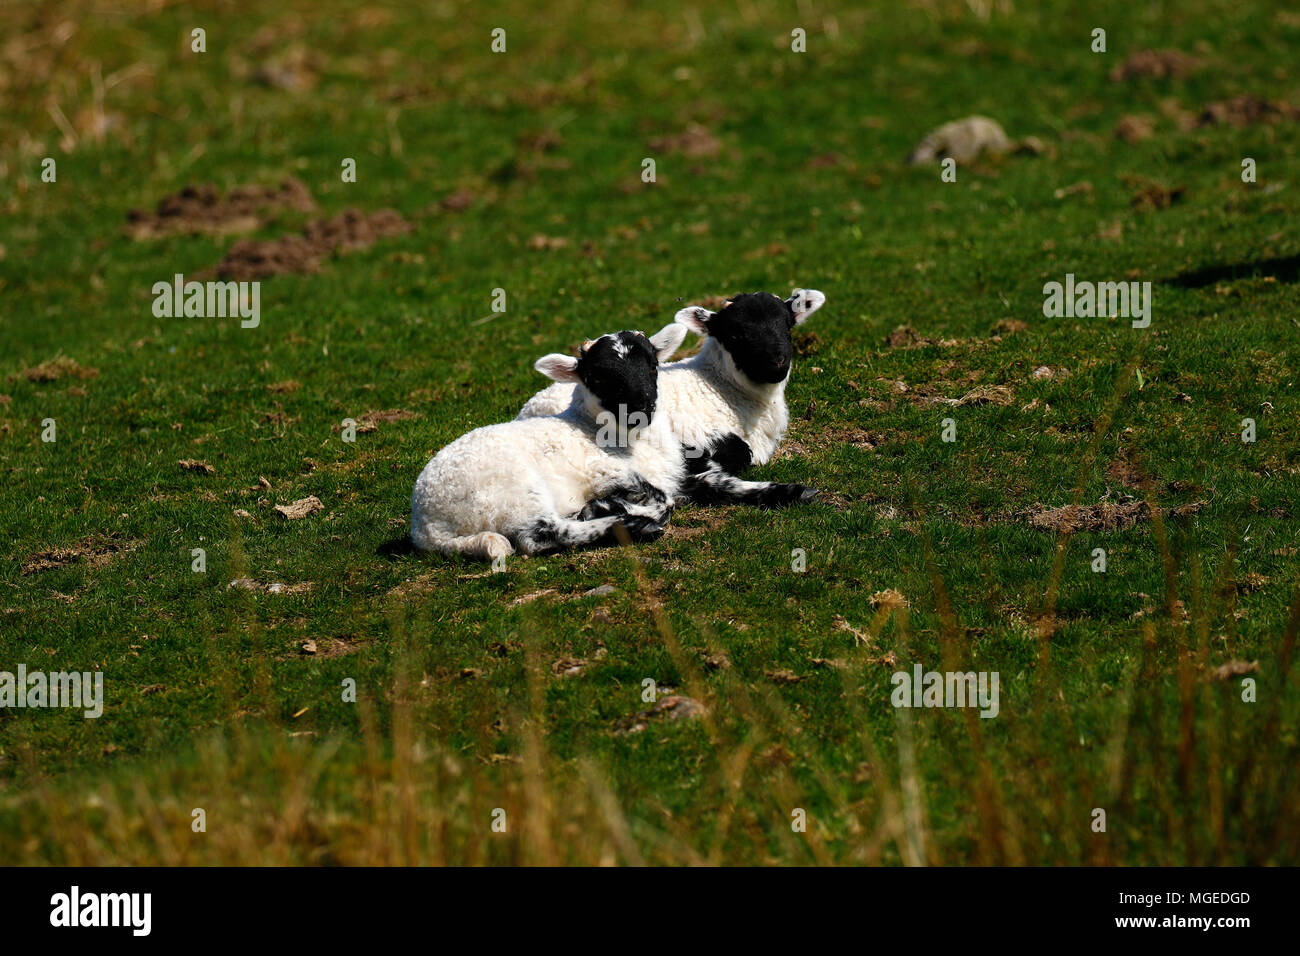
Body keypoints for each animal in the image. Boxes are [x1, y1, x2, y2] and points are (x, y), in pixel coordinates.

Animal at [410, 328, 685, 561]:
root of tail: (428, 528)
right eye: (597, 378)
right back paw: (630, 524)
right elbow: (664, 500)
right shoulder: (604, 471)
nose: (639, 409)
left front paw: (608, 505)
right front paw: (614, 507)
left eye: (653, 366)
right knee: (539, 536)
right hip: (514, 491)